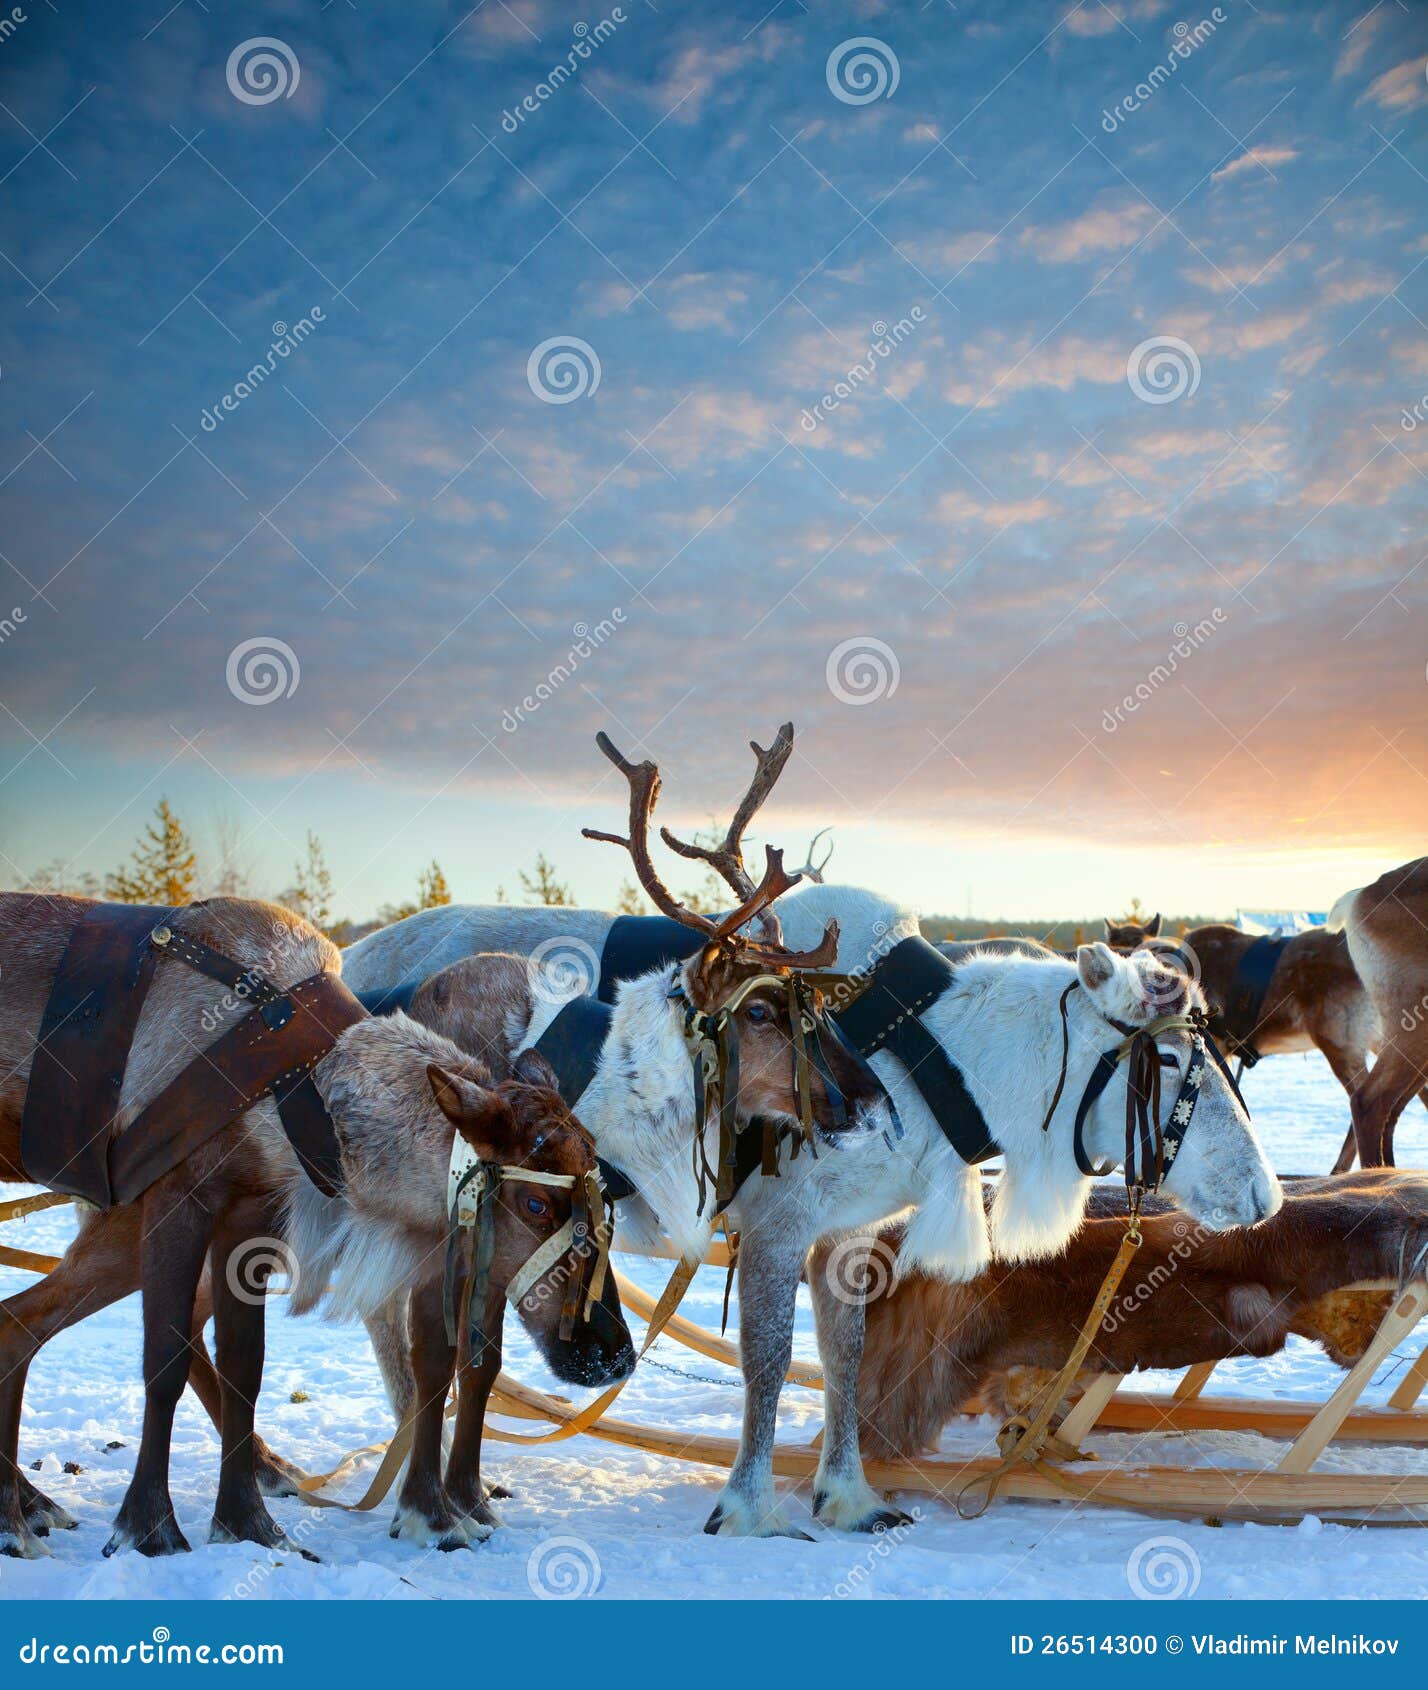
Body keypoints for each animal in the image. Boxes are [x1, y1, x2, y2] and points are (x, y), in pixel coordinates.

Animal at [344, 725, 1280, 1539]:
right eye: (1168, 1055)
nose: (1265, 1195)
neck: (942, 1068)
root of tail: (353, 959)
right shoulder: (775, 1225)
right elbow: (766, 1363)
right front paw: (749, 1510)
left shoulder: (851, 1231)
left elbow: (842, 1360)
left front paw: (851, 1498)